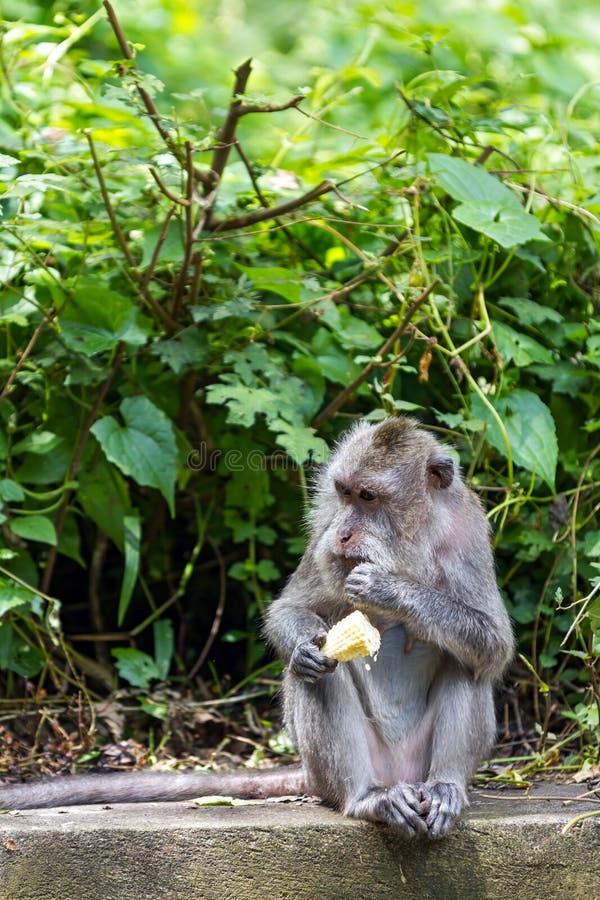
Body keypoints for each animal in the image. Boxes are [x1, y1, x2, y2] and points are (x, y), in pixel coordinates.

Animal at [0, 417, 513, 838]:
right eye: (344, 492)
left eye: (369, 497)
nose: (344, 533)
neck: (413, 541)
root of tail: (399, 777)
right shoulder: (323, 532)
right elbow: (293, 608)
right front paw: (306, 647)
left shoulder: (468, 531)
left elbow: (494, 642)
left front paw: (389, 588)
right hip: (339, 771)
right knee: (318, 680)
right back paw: (367, 798)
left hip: (419, 764)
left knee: (467, 666)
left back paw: (445, 788)